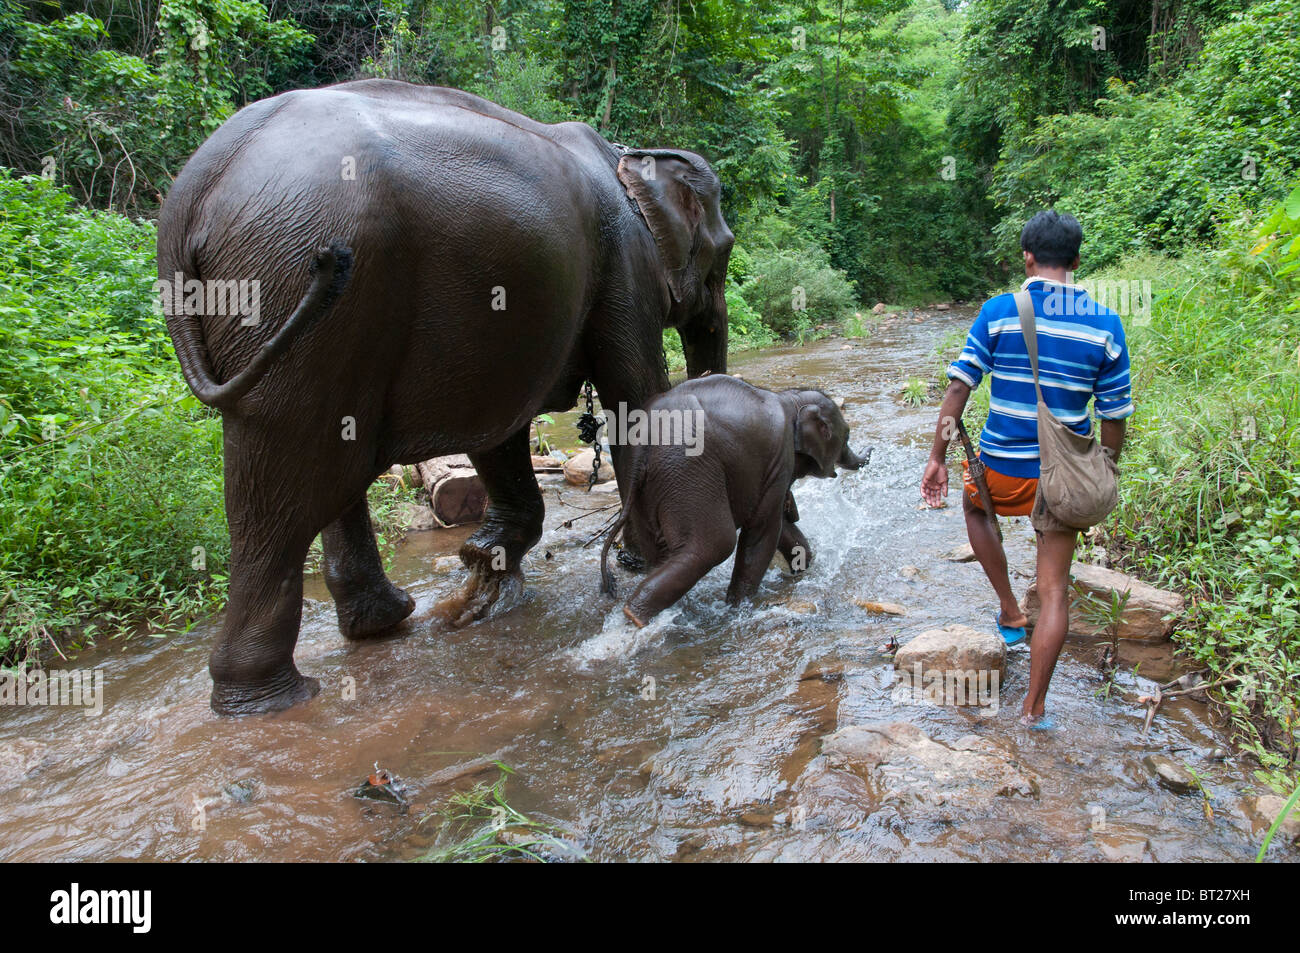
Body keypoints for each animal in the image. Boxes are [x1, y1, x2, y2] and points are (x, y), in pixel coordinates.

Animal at [156, 80, 734, 715]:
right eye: (725, 251)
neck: (629, 155)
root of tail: (193, 185)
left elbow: (502, 429)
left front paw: (486, 568)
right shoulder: (625, 269)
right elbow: (634, 400)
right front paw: (639, 565)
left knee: (314, 466)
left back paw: (380, 625)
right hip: (296, 290)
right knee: (291, 485)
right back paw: (276, 696)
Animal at [599, 374, 870, 625]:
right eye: (847, 435)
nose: (870, 451)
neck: (791, 398)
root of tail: (642, 443)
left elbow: (780, 525)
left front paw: (802, 567)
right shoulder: (778, 460)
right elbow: (765, 528)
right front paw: (740, 606)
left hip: (644, 487)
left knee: (660, 552)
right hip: (688, 470)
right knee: (715, 545)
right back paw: (635, 616)